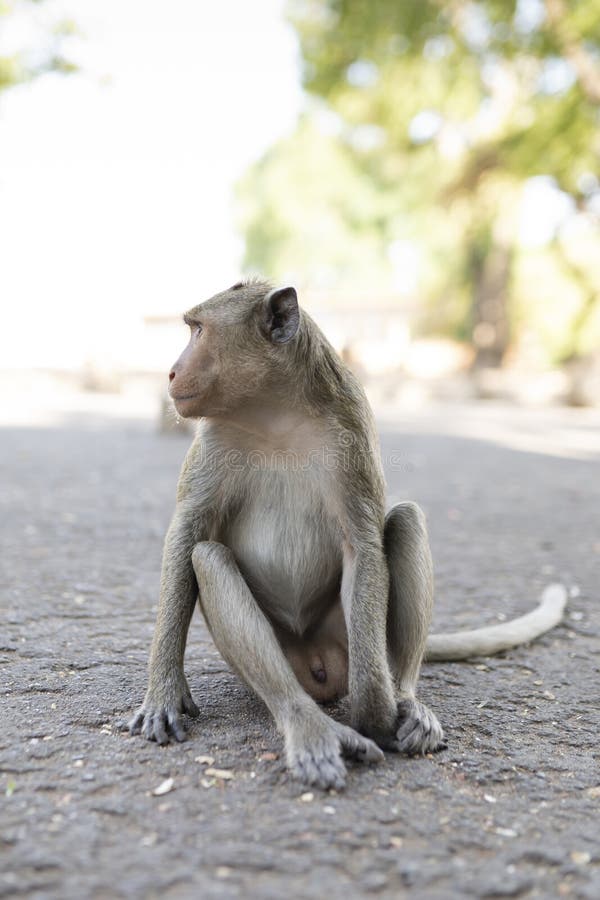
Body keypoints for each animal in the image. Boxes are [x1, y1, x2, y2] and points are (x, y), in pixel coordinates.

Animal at [129, 279, 567, 789]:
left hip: (349, 641)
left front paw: (376, 712)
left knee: (405, 522)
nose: (171, 372)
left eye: (197, 330)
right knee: (209, 558)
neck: (272, 413)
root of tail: (318, 662)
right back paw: (308, 722)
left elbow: (363, 544)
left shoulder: (351, 427)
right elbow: (187, 535)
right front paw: (164, 691)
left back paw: (404, 698)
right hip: (280, 659)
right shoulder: (212, 441)